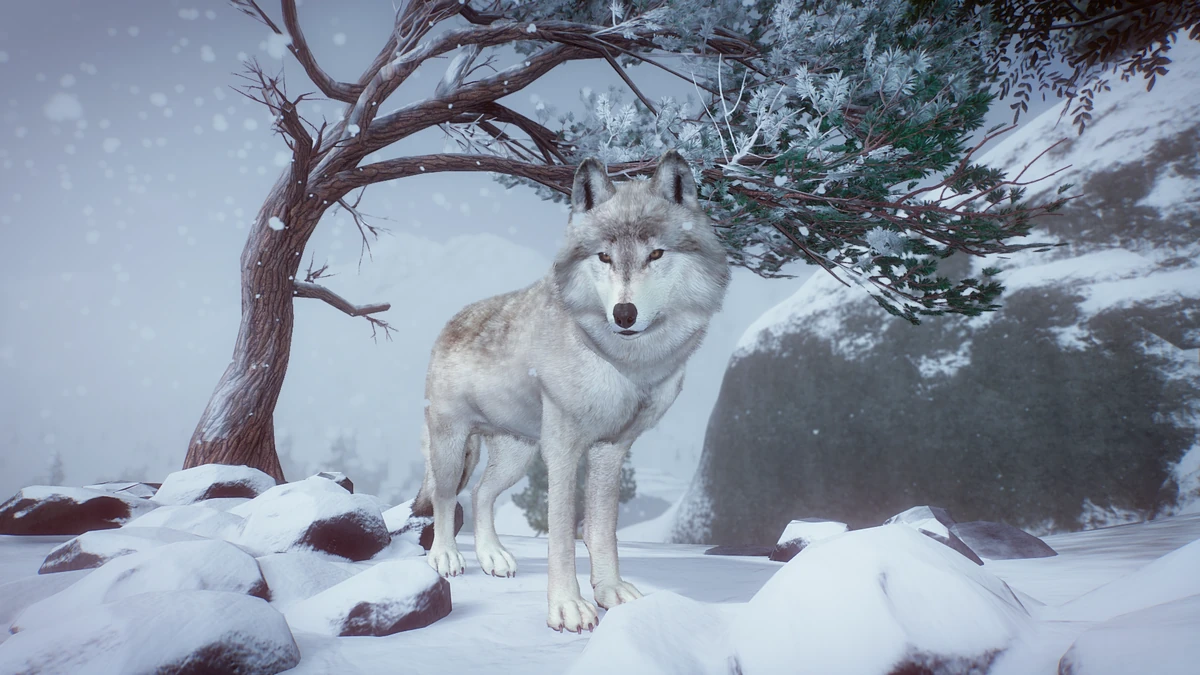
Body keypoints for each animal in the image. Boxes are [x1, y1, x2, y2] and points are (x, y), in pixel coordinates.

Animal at [410, 150, 730, 632]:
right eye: (604, 257)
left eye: (656, 254)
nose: (624, 313)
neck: (625, 365)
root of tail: (451, 322)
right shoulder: (562, 450)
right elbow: (561, 530)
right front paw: (567, 607)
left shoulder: (612, 449)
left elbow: (600, 527)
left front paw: (610, 592)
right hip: (452, 449)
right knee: (446, 500)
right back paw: (446, 557)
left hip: (517, 457)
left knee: (481, 493)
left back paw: (493, 557)